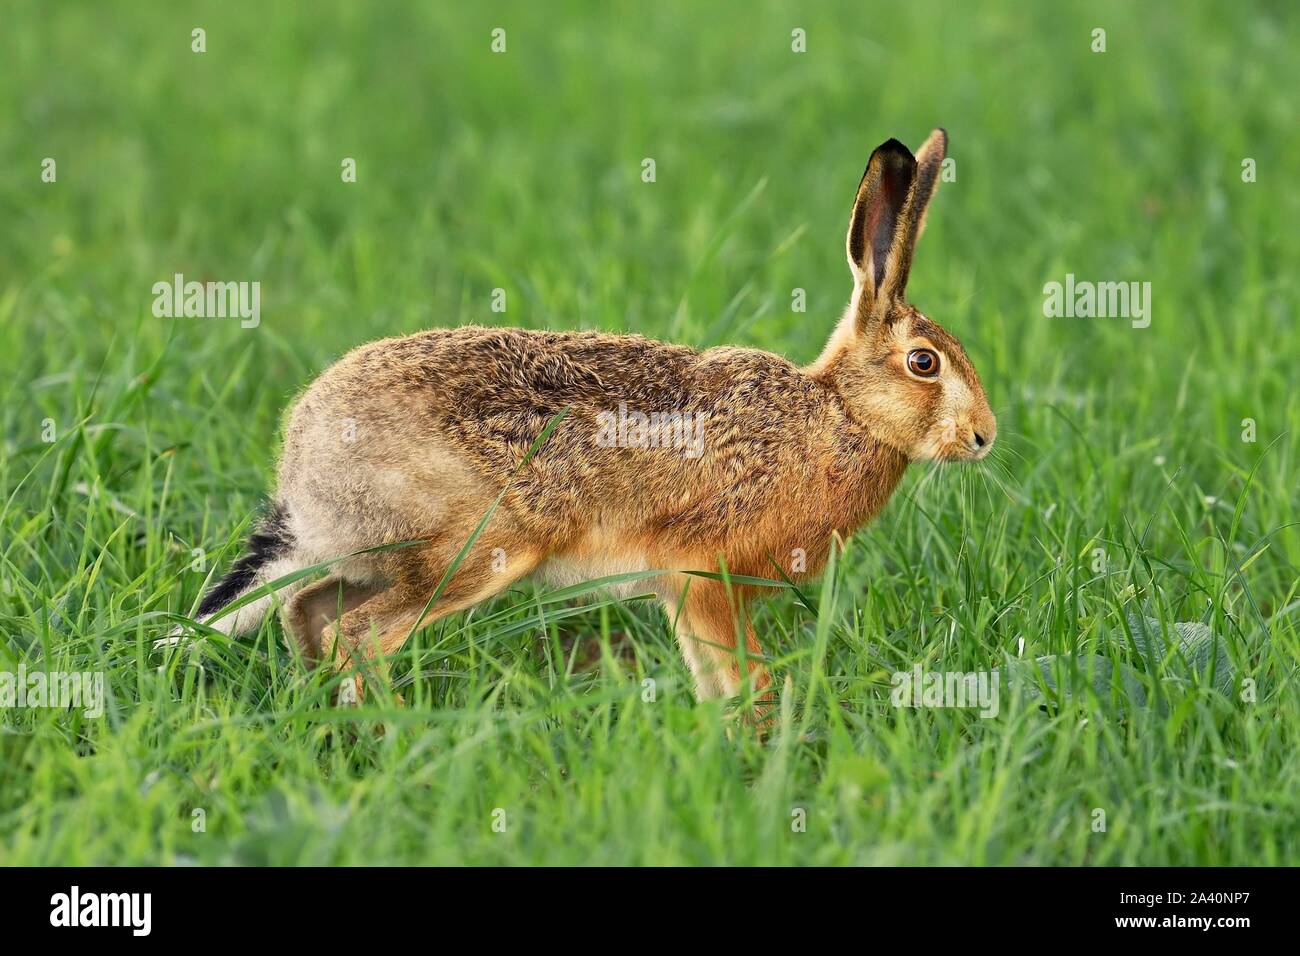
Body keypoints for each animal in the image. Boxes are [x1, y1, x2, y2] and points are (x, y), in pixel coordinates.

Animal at [178, 128, 995, 711]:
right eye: (925, 363)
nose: (985, 437)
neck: (841, 412)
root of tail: (303, 466)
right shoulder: (703, 572)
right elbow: (743, 680)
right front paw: (758, 748)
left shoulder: (682, 591)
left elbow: (711, 679)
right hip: (478, 549)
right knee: (359, 636)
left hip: (380, 556)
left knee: (308, 610)